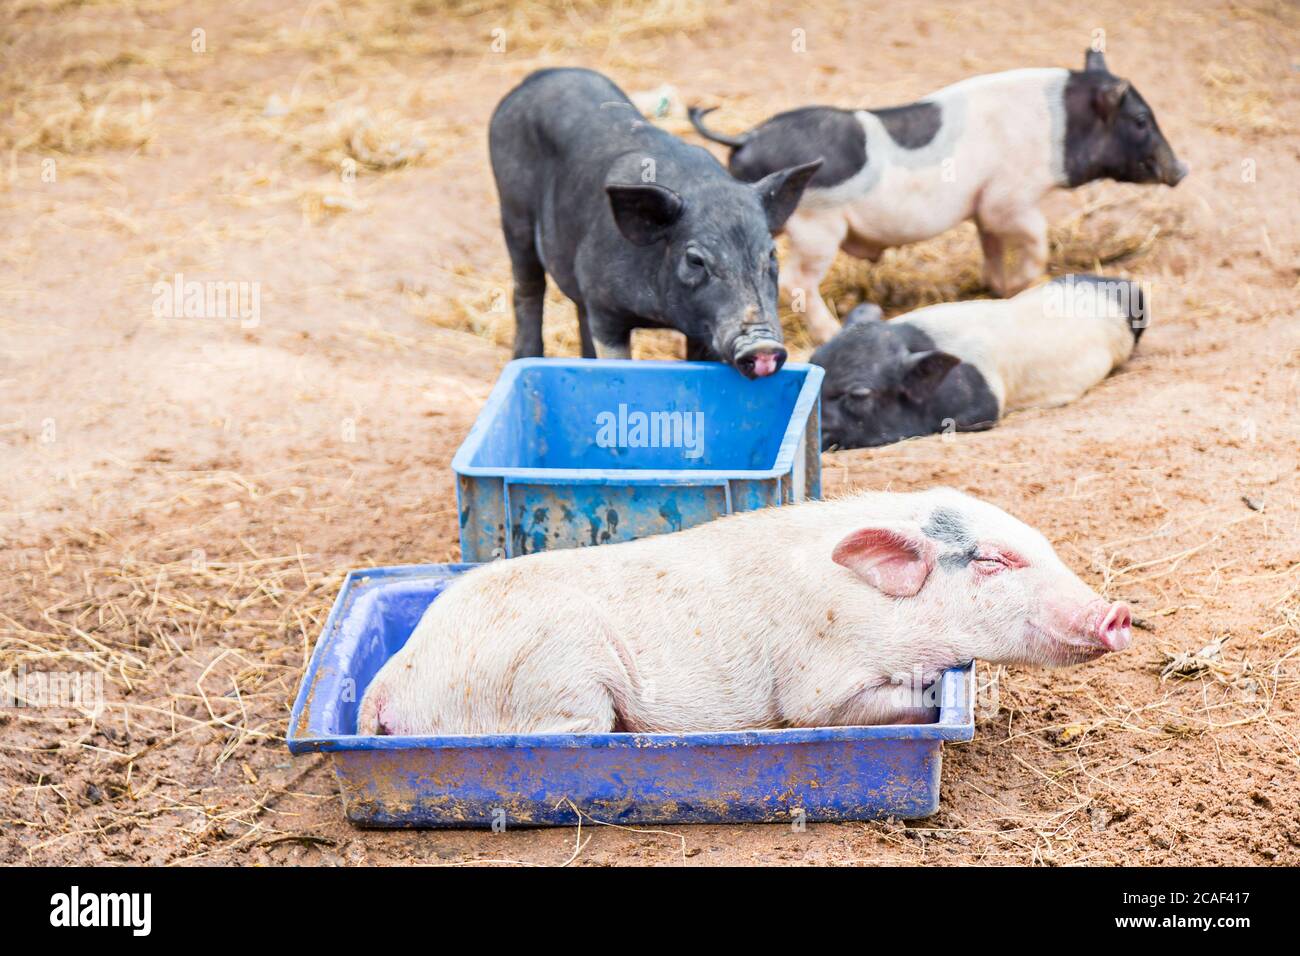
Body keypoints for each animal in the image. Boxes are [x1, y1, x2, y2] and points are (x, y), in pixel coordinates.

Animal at [358, 487, 1132, 736]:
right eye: (993, 561)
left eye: (1042, 543)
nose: (1117, 613)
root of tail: (392, 680)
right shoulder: (817, 685)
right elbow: (835, 711)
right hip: (559, 686)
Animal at [489, 68, 821, 378]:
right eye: (695, 259)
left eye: (772, 254)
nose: (763, 346)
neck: (659, 314)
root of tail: (539, 76)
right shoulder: (606, 313)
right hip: (513, 212)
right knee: (528, 288)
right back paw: (523, 356)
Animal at [688, 49, 1187, 344]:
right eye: (1141, 120)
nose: (1182, 170)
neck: (1057, 126)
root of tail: (745, 137)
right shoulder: (1009, 197)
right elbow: (1033, 234)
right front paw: (1025, 283)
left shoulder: (984, 207)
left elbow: (990, 243)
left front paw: (997, 286)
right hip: (817, 227)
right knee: (796, 282)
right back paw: (829, 334)